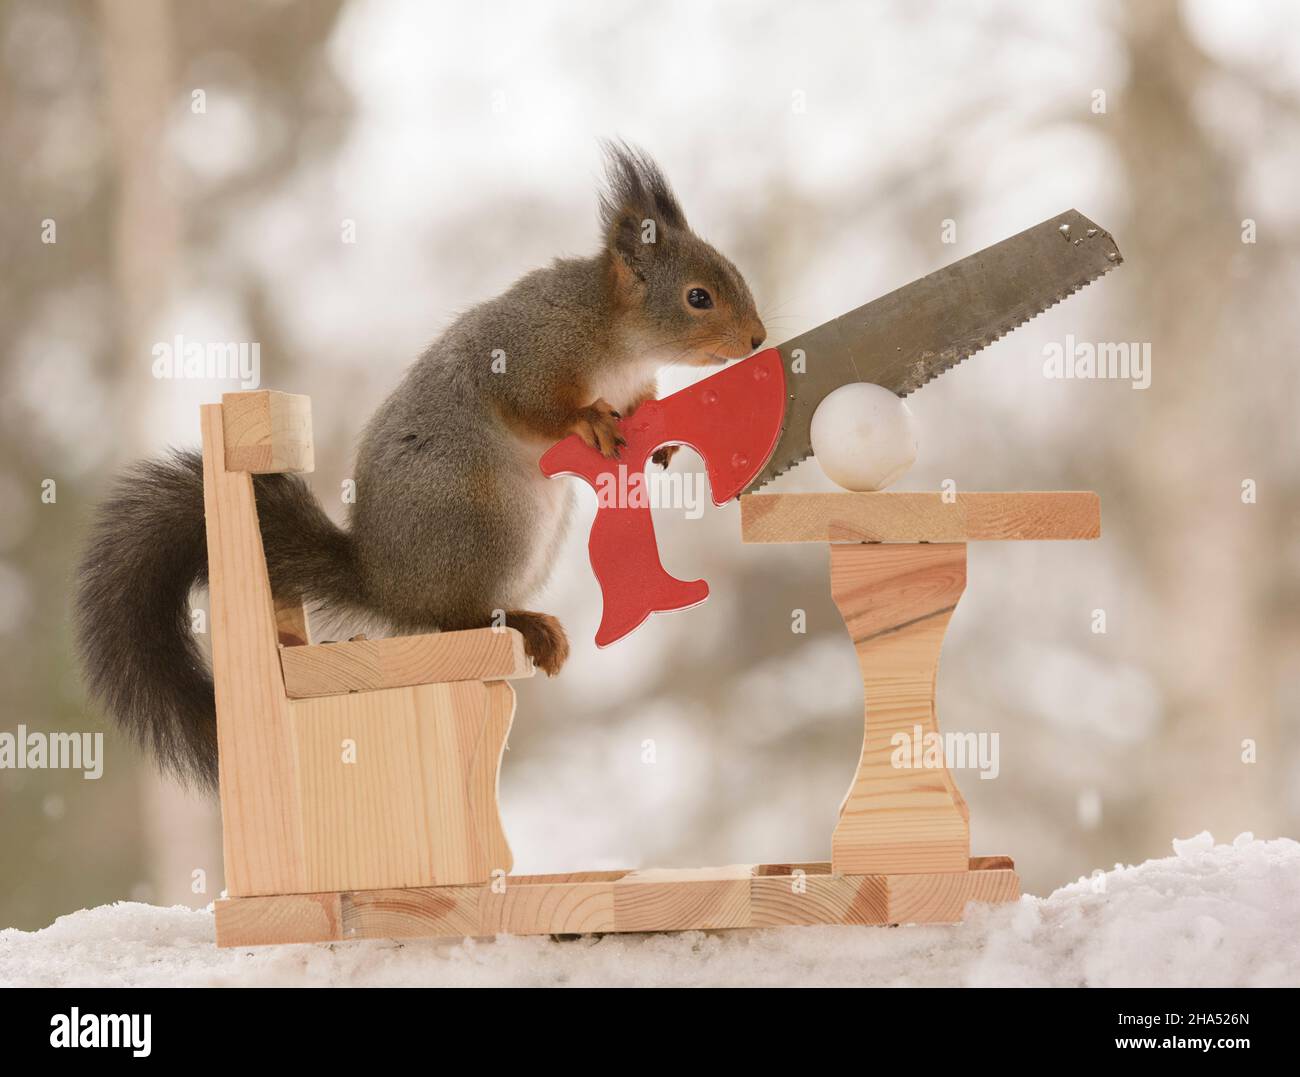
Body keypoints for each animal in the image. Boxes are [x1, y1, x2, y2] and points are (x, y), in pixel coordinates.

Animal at [74, 142, 767, 792]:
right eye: (698, 297)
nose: (758, 339)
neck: (617, 333)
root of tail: (383, 581)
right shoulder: (526, 351)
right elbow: (535, 407)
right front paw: (588, 420)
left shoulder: (631, 381)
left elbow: (642, 405)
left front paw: (662, 445)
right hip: (487, 525)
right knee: (453, 616)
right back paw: (520, 623)